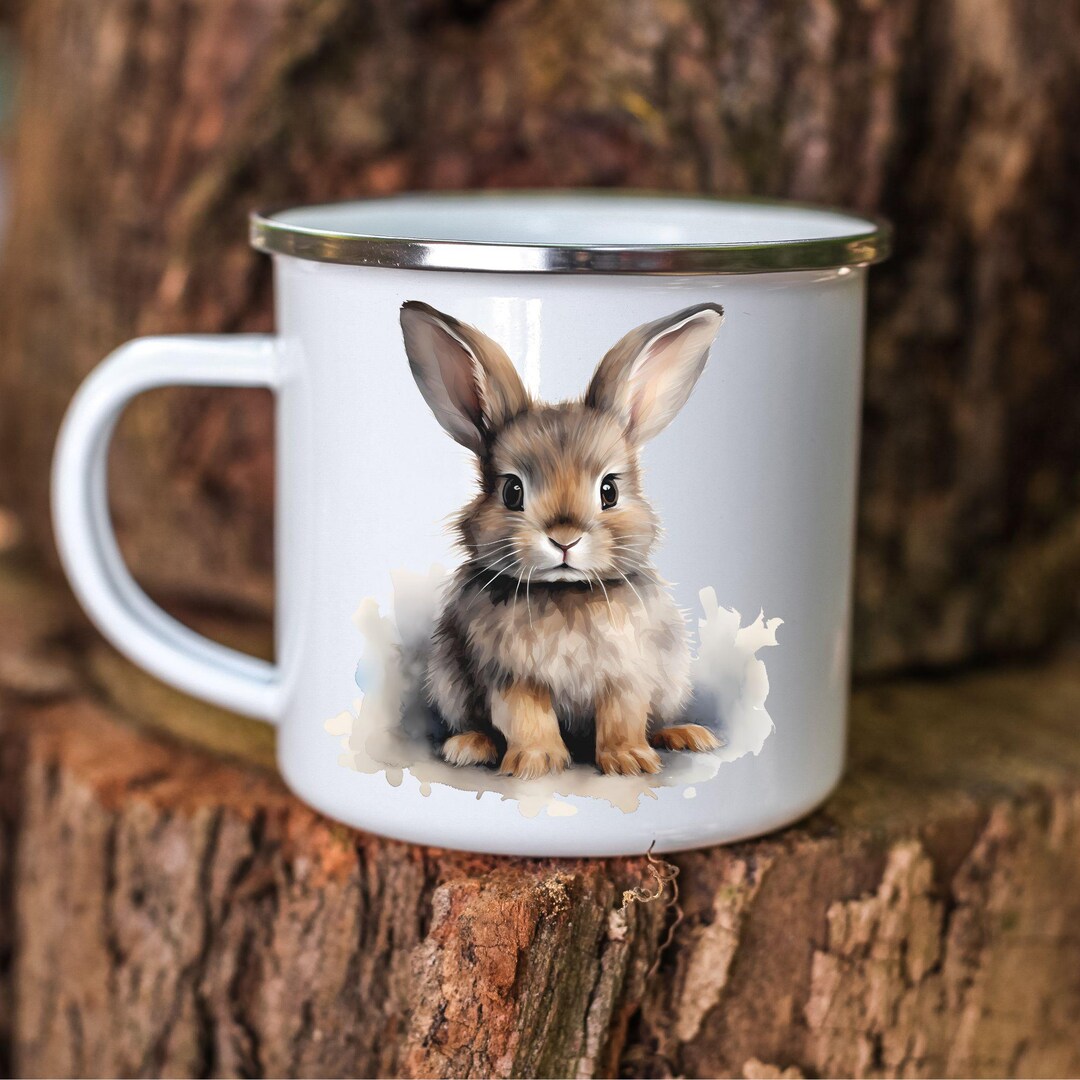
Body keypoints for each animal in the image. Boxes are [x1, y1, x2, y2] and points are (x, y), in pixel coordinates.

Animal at [400, 299, 724, 780]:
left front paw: (629, 760)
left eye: (609, 490)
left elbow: (624, 716)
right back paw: (469, 746)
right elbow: (526, 717)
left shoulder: (628, 674)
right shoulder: (512, 677)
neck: (567, 593)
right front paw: (535, 762)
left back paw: (686, 735)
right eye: (512, 491)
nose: (565, 539)